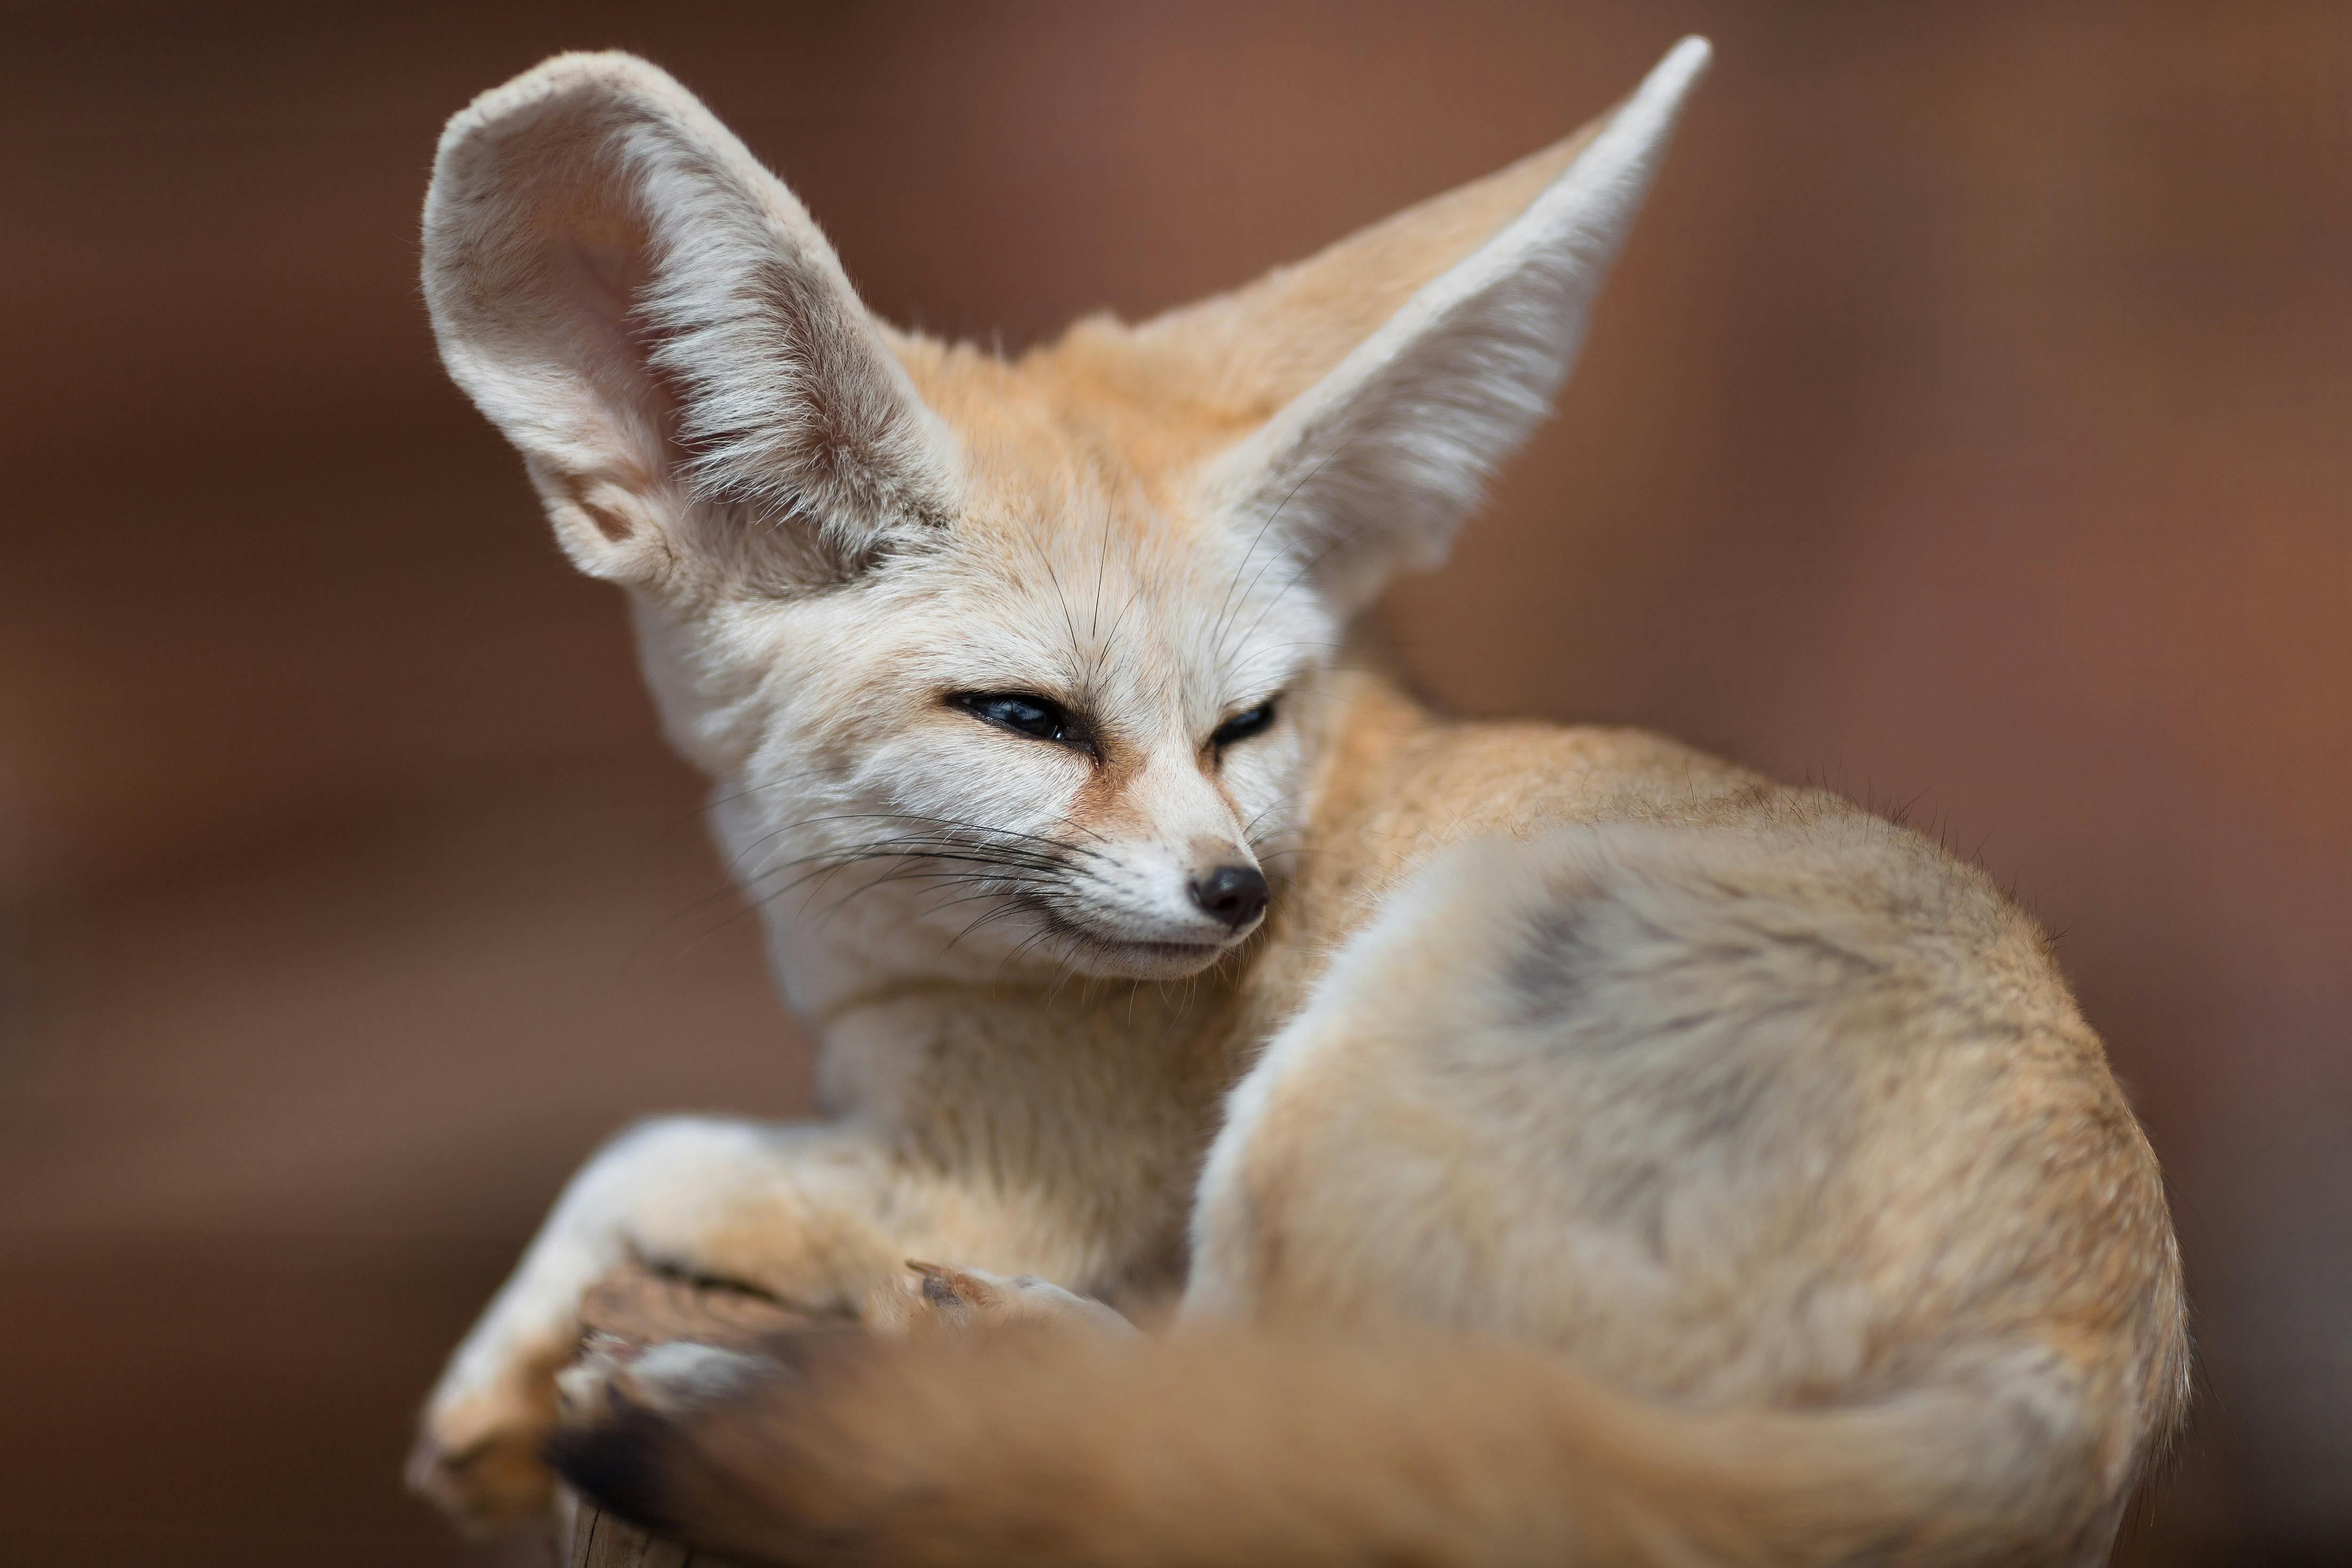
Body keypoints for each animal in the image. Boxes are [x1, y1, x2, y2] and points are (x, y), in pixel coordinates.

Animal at [405, 36, 2188, 1566]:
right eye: (1028, 719)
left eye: (1241, 721)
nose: (1237, 895)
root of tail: (2077, 1353)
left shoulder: (984, 1178)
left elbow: (639, 1147)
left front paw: (509, 1362)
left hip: (1353, 1065)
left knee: (1255, 1448)